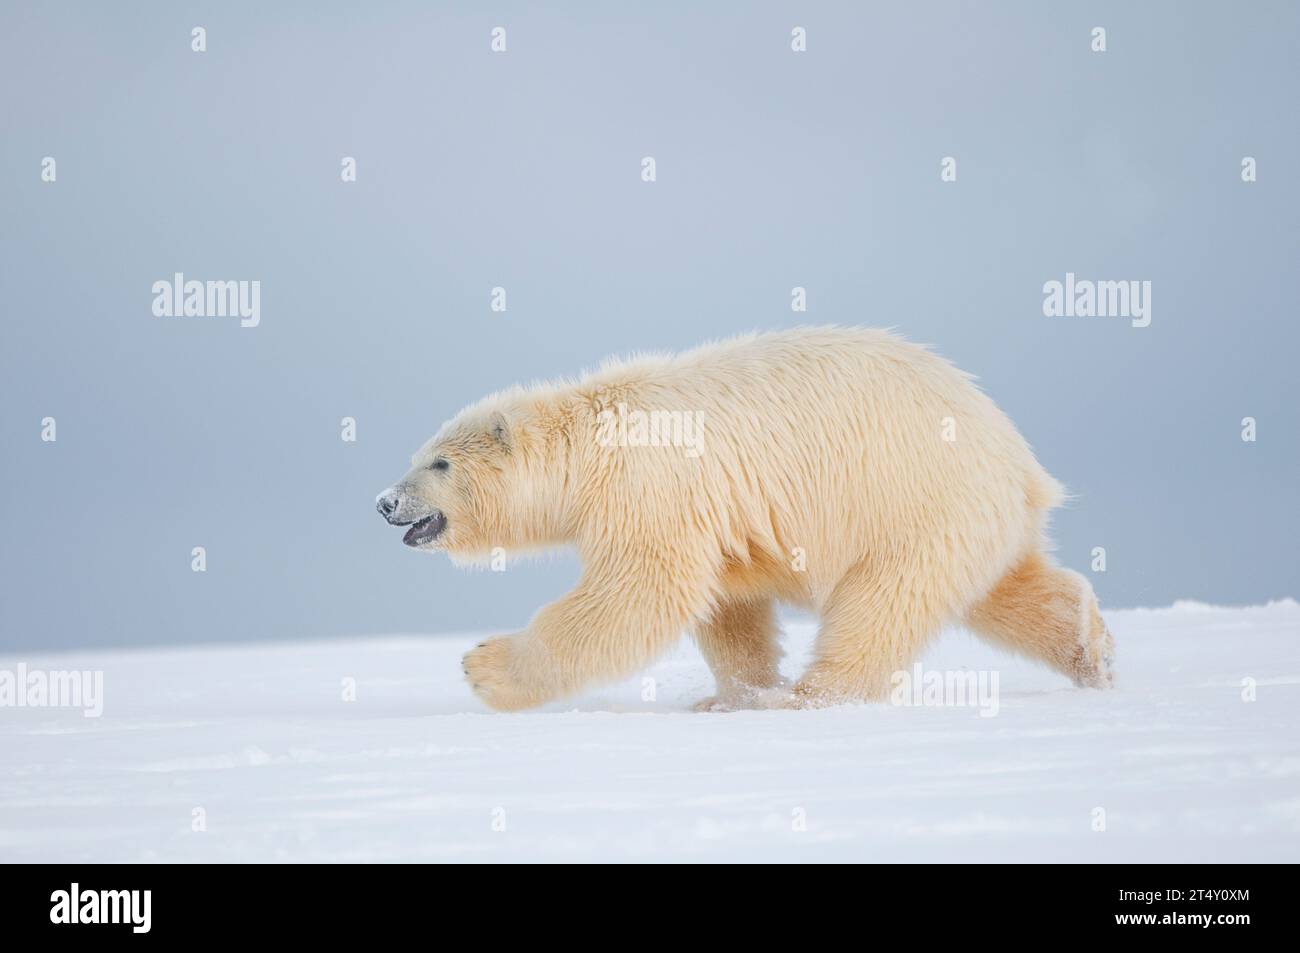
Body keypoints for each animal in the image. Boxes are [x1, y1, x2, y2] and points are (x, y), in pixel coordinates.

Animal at [376, 326, 1115, 712]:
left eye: (438, 462)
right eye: (418, 456)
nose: (385, 501)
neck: (594, 440)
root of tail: (1018, 459)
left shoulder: (651, 487)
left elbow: (638, 592)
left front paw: (484, 667)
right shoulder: (713, 513)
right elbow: (729, 606)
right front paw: (730, 695)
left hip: (913, 502)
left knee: (880, 604)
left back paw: (810, 694)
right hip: (972, 517)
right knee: (1007, 590)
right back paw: (1093, 650)